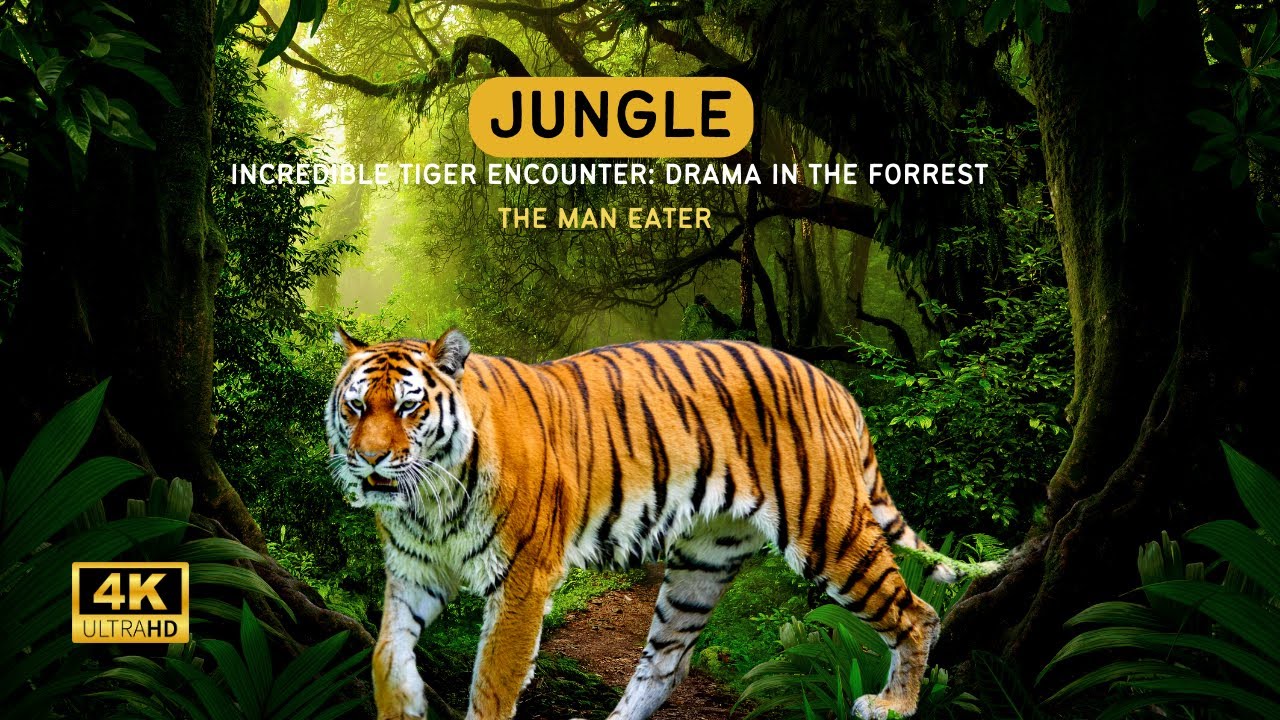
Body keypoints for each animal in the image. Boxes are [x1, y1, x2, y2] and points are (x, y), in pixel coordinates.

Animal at [325, 327, 959, 720]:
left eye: (408, 407)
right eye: (356, 406)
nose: (371, 459)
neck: (427, 501)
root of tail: (834, 384)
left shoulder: (522, 582)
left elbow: (493, 681)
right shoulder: (414, 574)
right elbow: (386, 655)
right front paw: (404, 704)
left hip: (828, 531)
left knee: (918, 615)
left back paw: (893, 706)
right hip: (702, 562)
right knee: (666, 665)